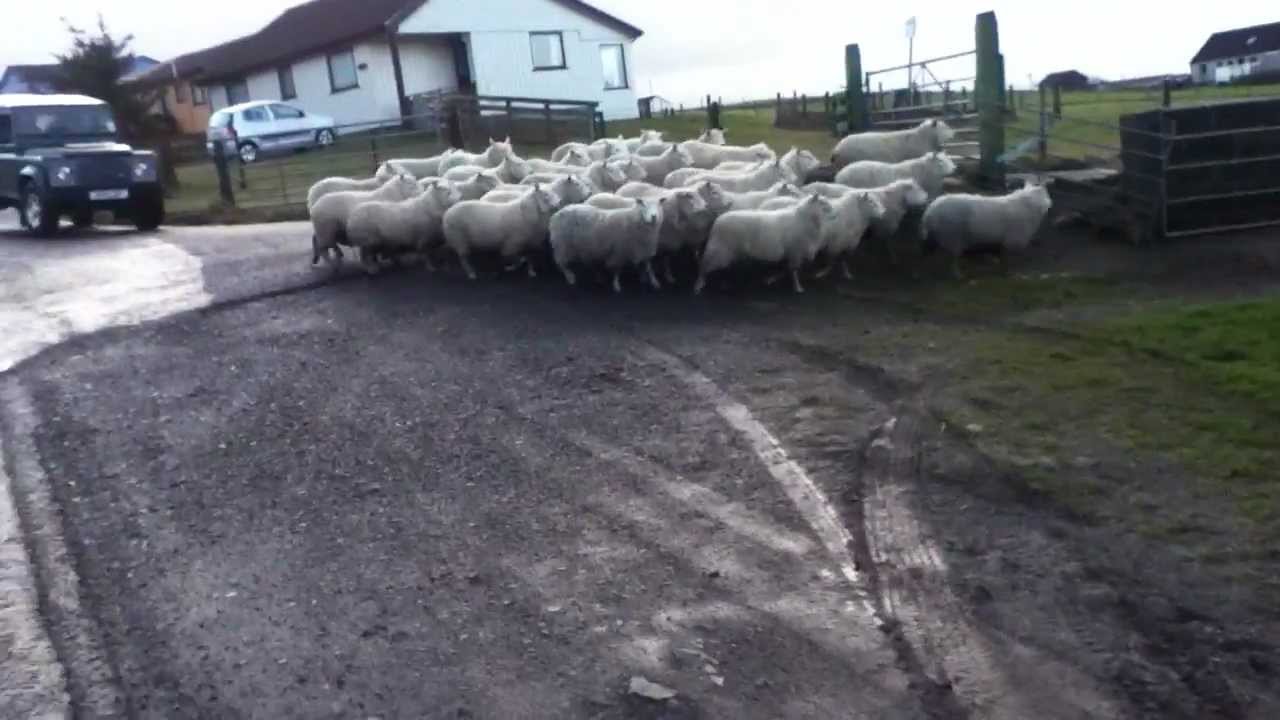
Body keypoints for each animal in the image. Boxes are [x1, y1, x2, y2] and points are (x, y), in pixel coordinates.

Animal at [695, 193, 835, 295]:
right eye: (823, 203)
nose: (835, 215)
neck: (803, 220)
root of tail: (717, 222)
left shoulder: (790, 252)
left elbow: (786, 268)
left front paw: (772, 278)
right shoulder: (796, 252)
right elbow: (794, 270)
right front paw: (798, 288)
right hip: (719, 251)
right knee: (704, 265)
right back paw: (698, 285)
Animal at [920, 180, 1054, 278]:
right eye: (1046, 194)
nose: (1049, 207)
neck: (1028, 204)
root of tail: (930, 211)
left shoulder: (1002, 242)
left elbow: (1001, 255)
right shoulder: (1011, 240)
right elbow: (1008, 258)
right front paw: (1008, 272)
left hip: (937, 236)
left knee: (928, 251)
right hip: (953, 236)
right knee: (953, 258)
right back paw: (957, 274)